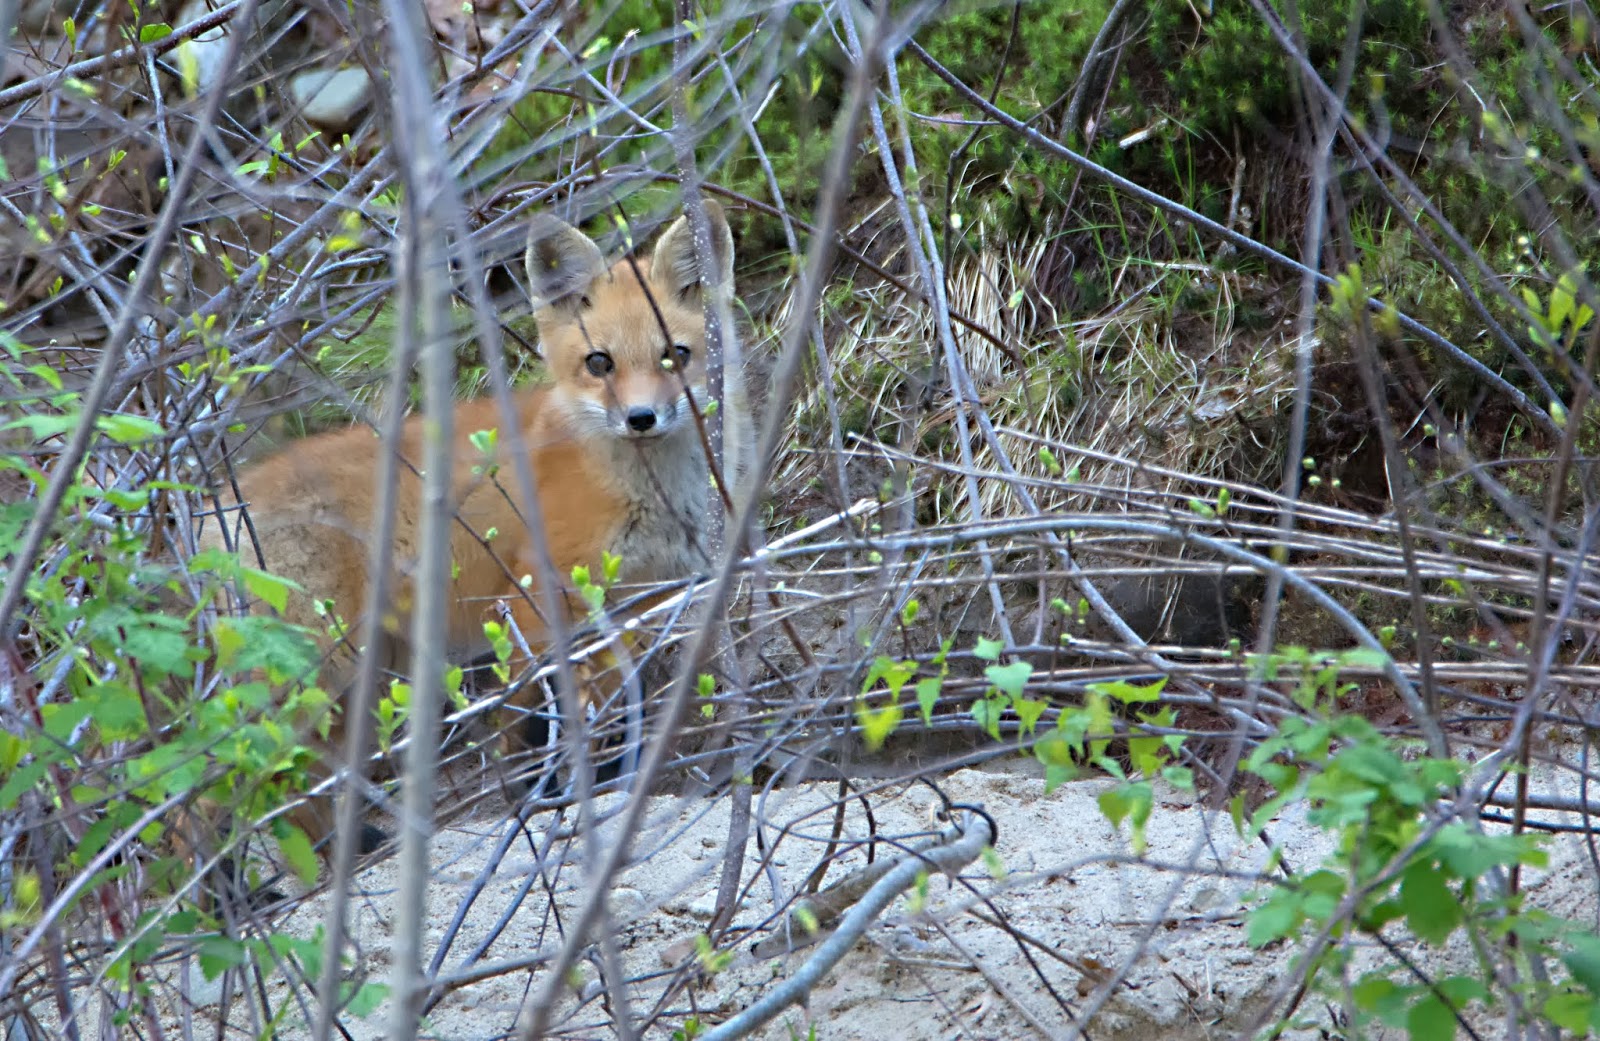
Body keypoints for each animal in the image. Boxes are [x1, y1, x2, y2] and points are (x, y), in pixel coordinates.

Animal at [193, 200, 751, 860]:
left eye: (674, 355)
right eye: (600, 364)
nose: (641, 418)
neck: (647, 489)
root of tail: (219, 504)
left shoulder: (635, 606)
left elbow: (614, 710)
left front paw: (610, 783)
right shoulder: (534, 603)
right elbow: (533, 723)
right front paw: (541, 797)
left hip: (361, 682)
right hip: (315, 671)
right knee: (218, 788)